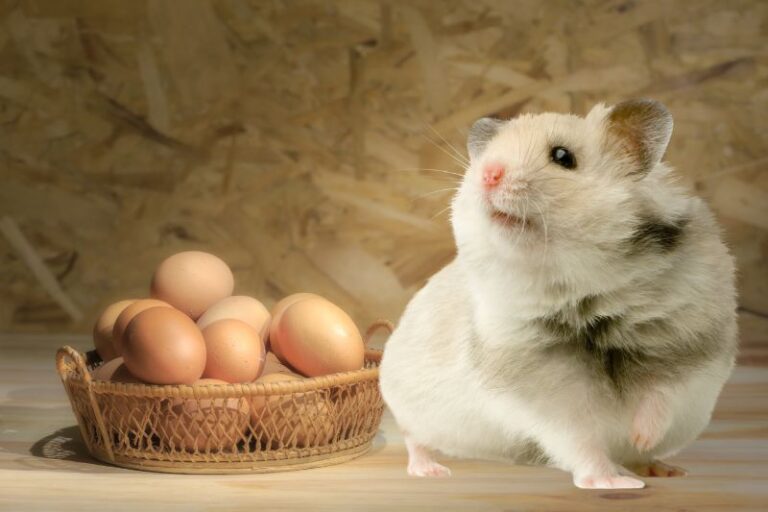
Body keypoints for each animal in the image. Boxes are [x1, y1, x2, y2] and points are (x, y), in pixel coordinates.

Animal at [378, 99, 738, 489]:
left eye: (563, 157)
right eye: (487, 156)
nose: (487, 174)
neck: (586, 291)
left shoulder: (691, 350)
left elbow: (662, 395)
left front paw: (641, 439)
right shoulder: (547, 398)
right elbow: (580, 441)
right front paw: (612, 482)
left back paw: (662, 468)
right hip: (412, 409)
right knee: (414, 439)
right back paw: (430, 470)